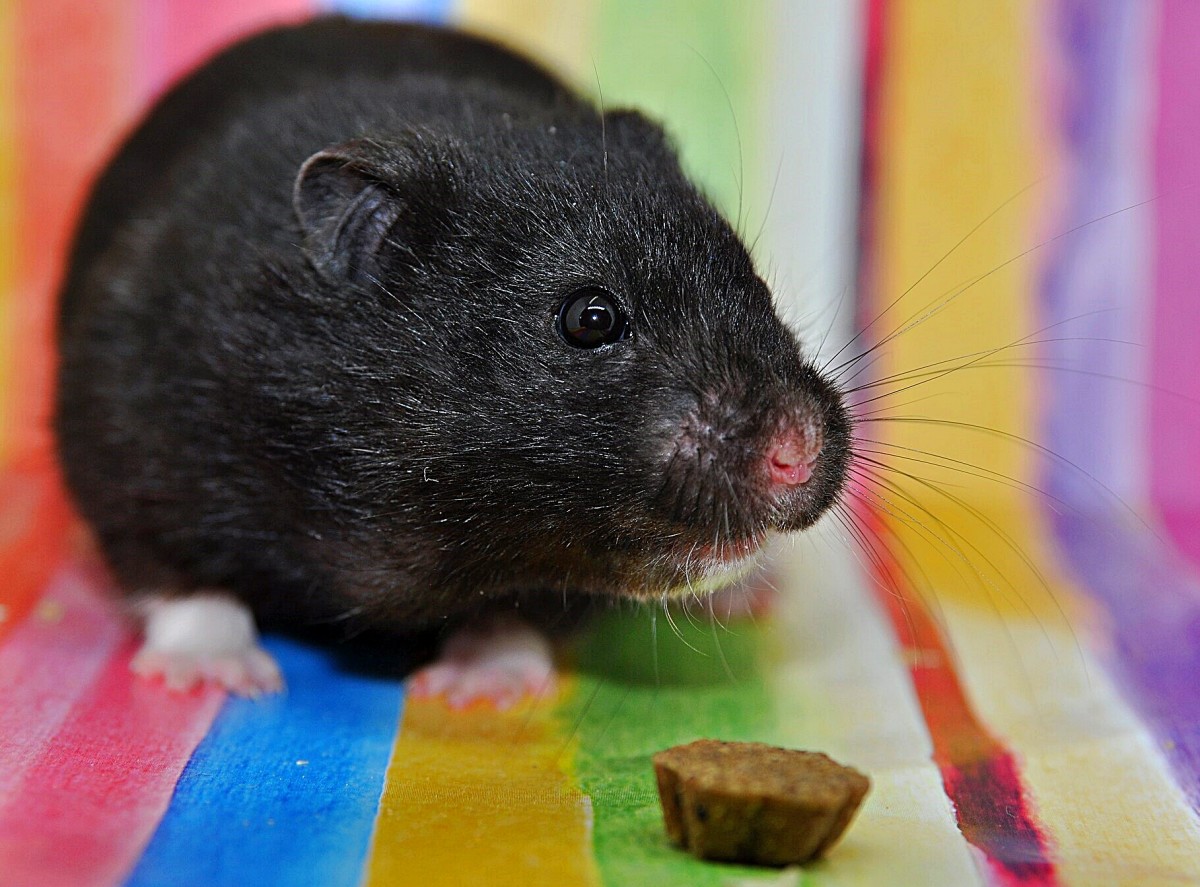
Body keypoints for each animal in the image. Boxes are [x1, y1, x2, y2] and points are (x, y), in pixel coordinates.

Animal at [54, 18, 851, 702]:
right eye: (589, 319)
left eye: (755, 281)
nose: (798, 453)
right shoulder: (127, 433)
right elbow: (178, 579)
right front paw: (221, 678)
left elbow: (517, 613)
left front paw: (479, 689)